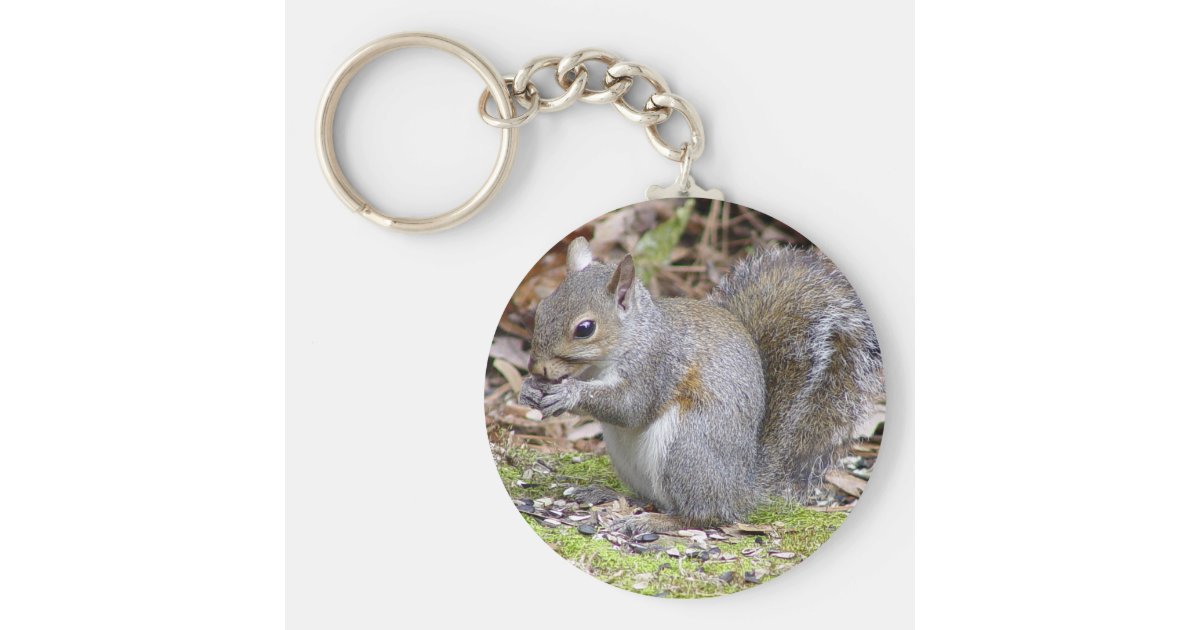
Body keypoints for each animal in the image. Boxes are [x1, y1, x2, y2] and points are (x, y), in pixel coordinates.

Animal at [518, 236, 883, 534]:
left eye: (585, 328)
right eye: (543, 308)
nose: (537, 367)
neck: (632, 337)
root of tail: (740, 489)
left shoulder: (658, 364)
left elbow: (630, 406)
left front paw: (568, 393)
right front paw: (529, 388)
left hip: (687, 449)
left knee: (702, 516)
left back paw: (656, 522)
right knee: (650, 497)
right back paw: (608, 494)